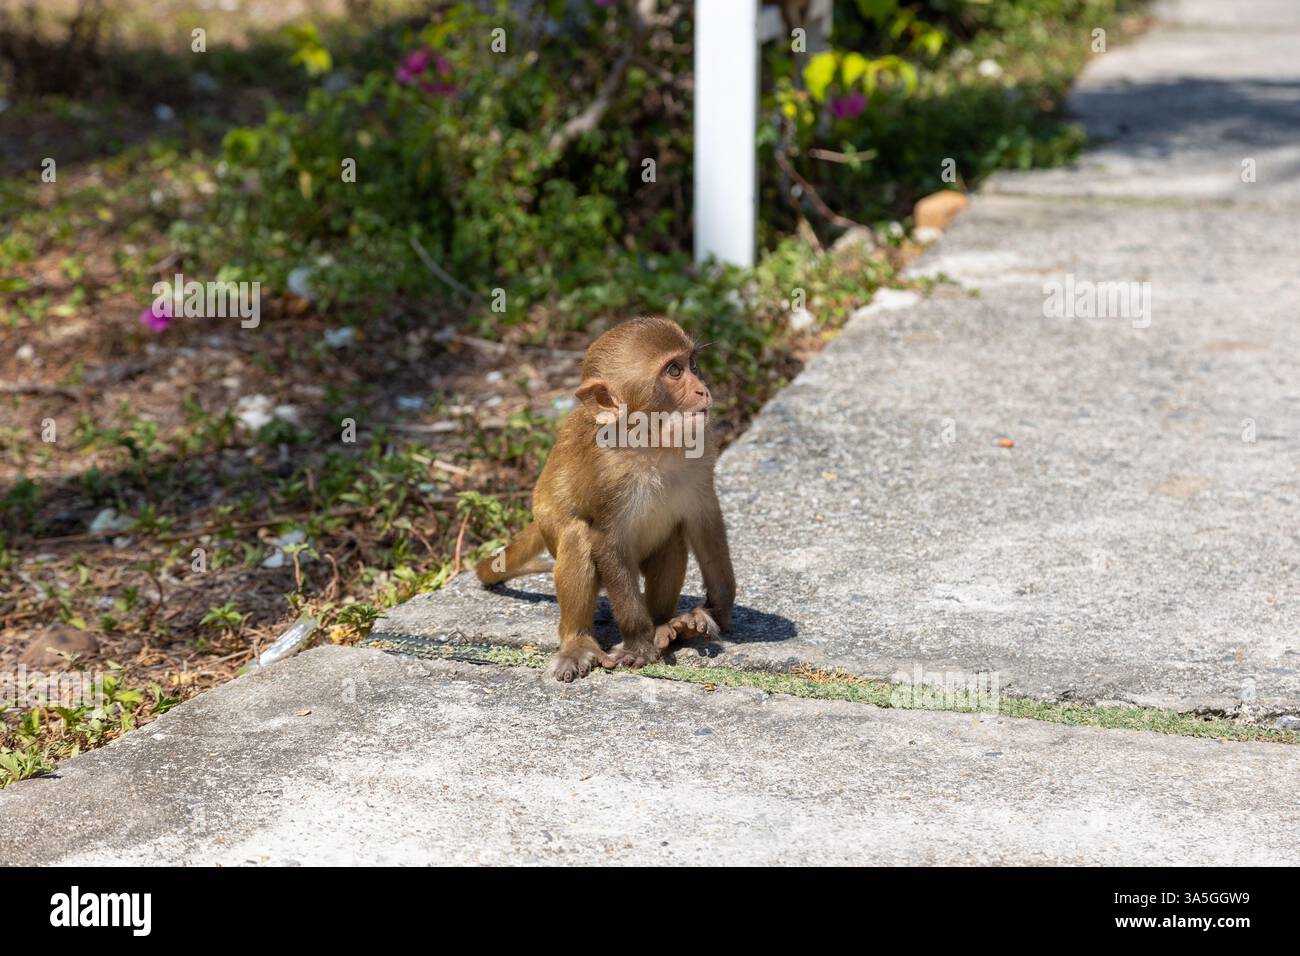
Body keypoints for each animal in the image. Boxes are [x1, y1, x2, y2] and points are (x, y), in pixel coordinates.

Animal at [476, 316, 736, 682]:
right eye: (673, 371)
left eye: (693, 365)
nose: (703, 389)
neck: (650, 442)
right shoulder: (606, 474)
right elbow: (606, 541)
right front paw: (639, 642)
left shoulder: (703, 449)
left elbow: (704, 521)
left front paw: (719, 608)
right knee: (577, 535)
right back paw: (578, 642)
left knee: (673, 537)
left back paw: (666, 624)